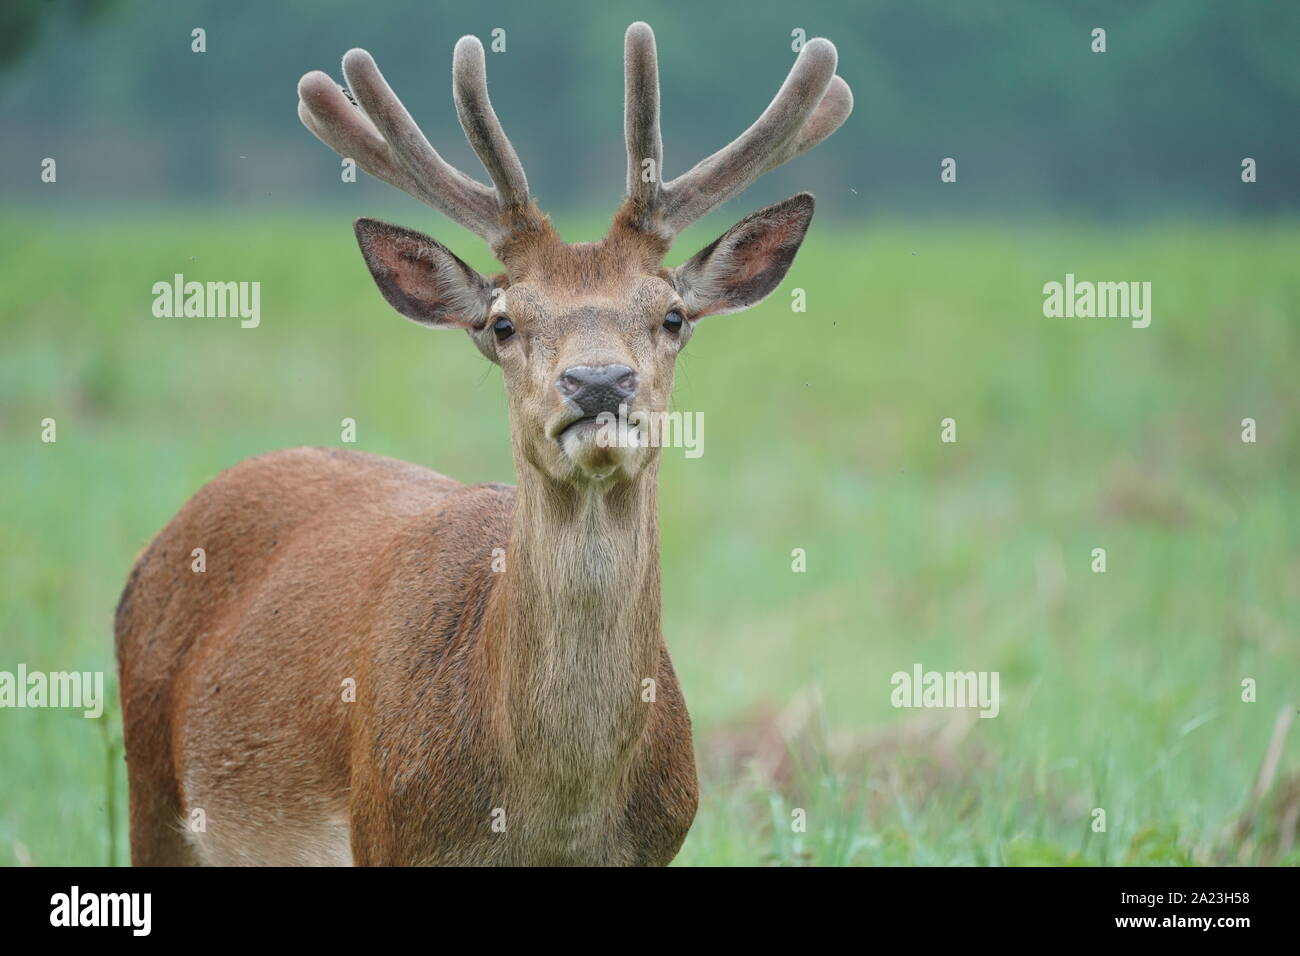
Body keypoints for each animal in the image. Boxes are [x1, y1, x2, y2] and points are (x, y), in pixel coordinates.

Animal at [115, 22, 852, 866]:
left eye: (672, 315)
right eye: (502, 323)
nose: (599, 382)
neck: (551, 818)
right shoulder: (384, 830)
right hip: (149, 784)